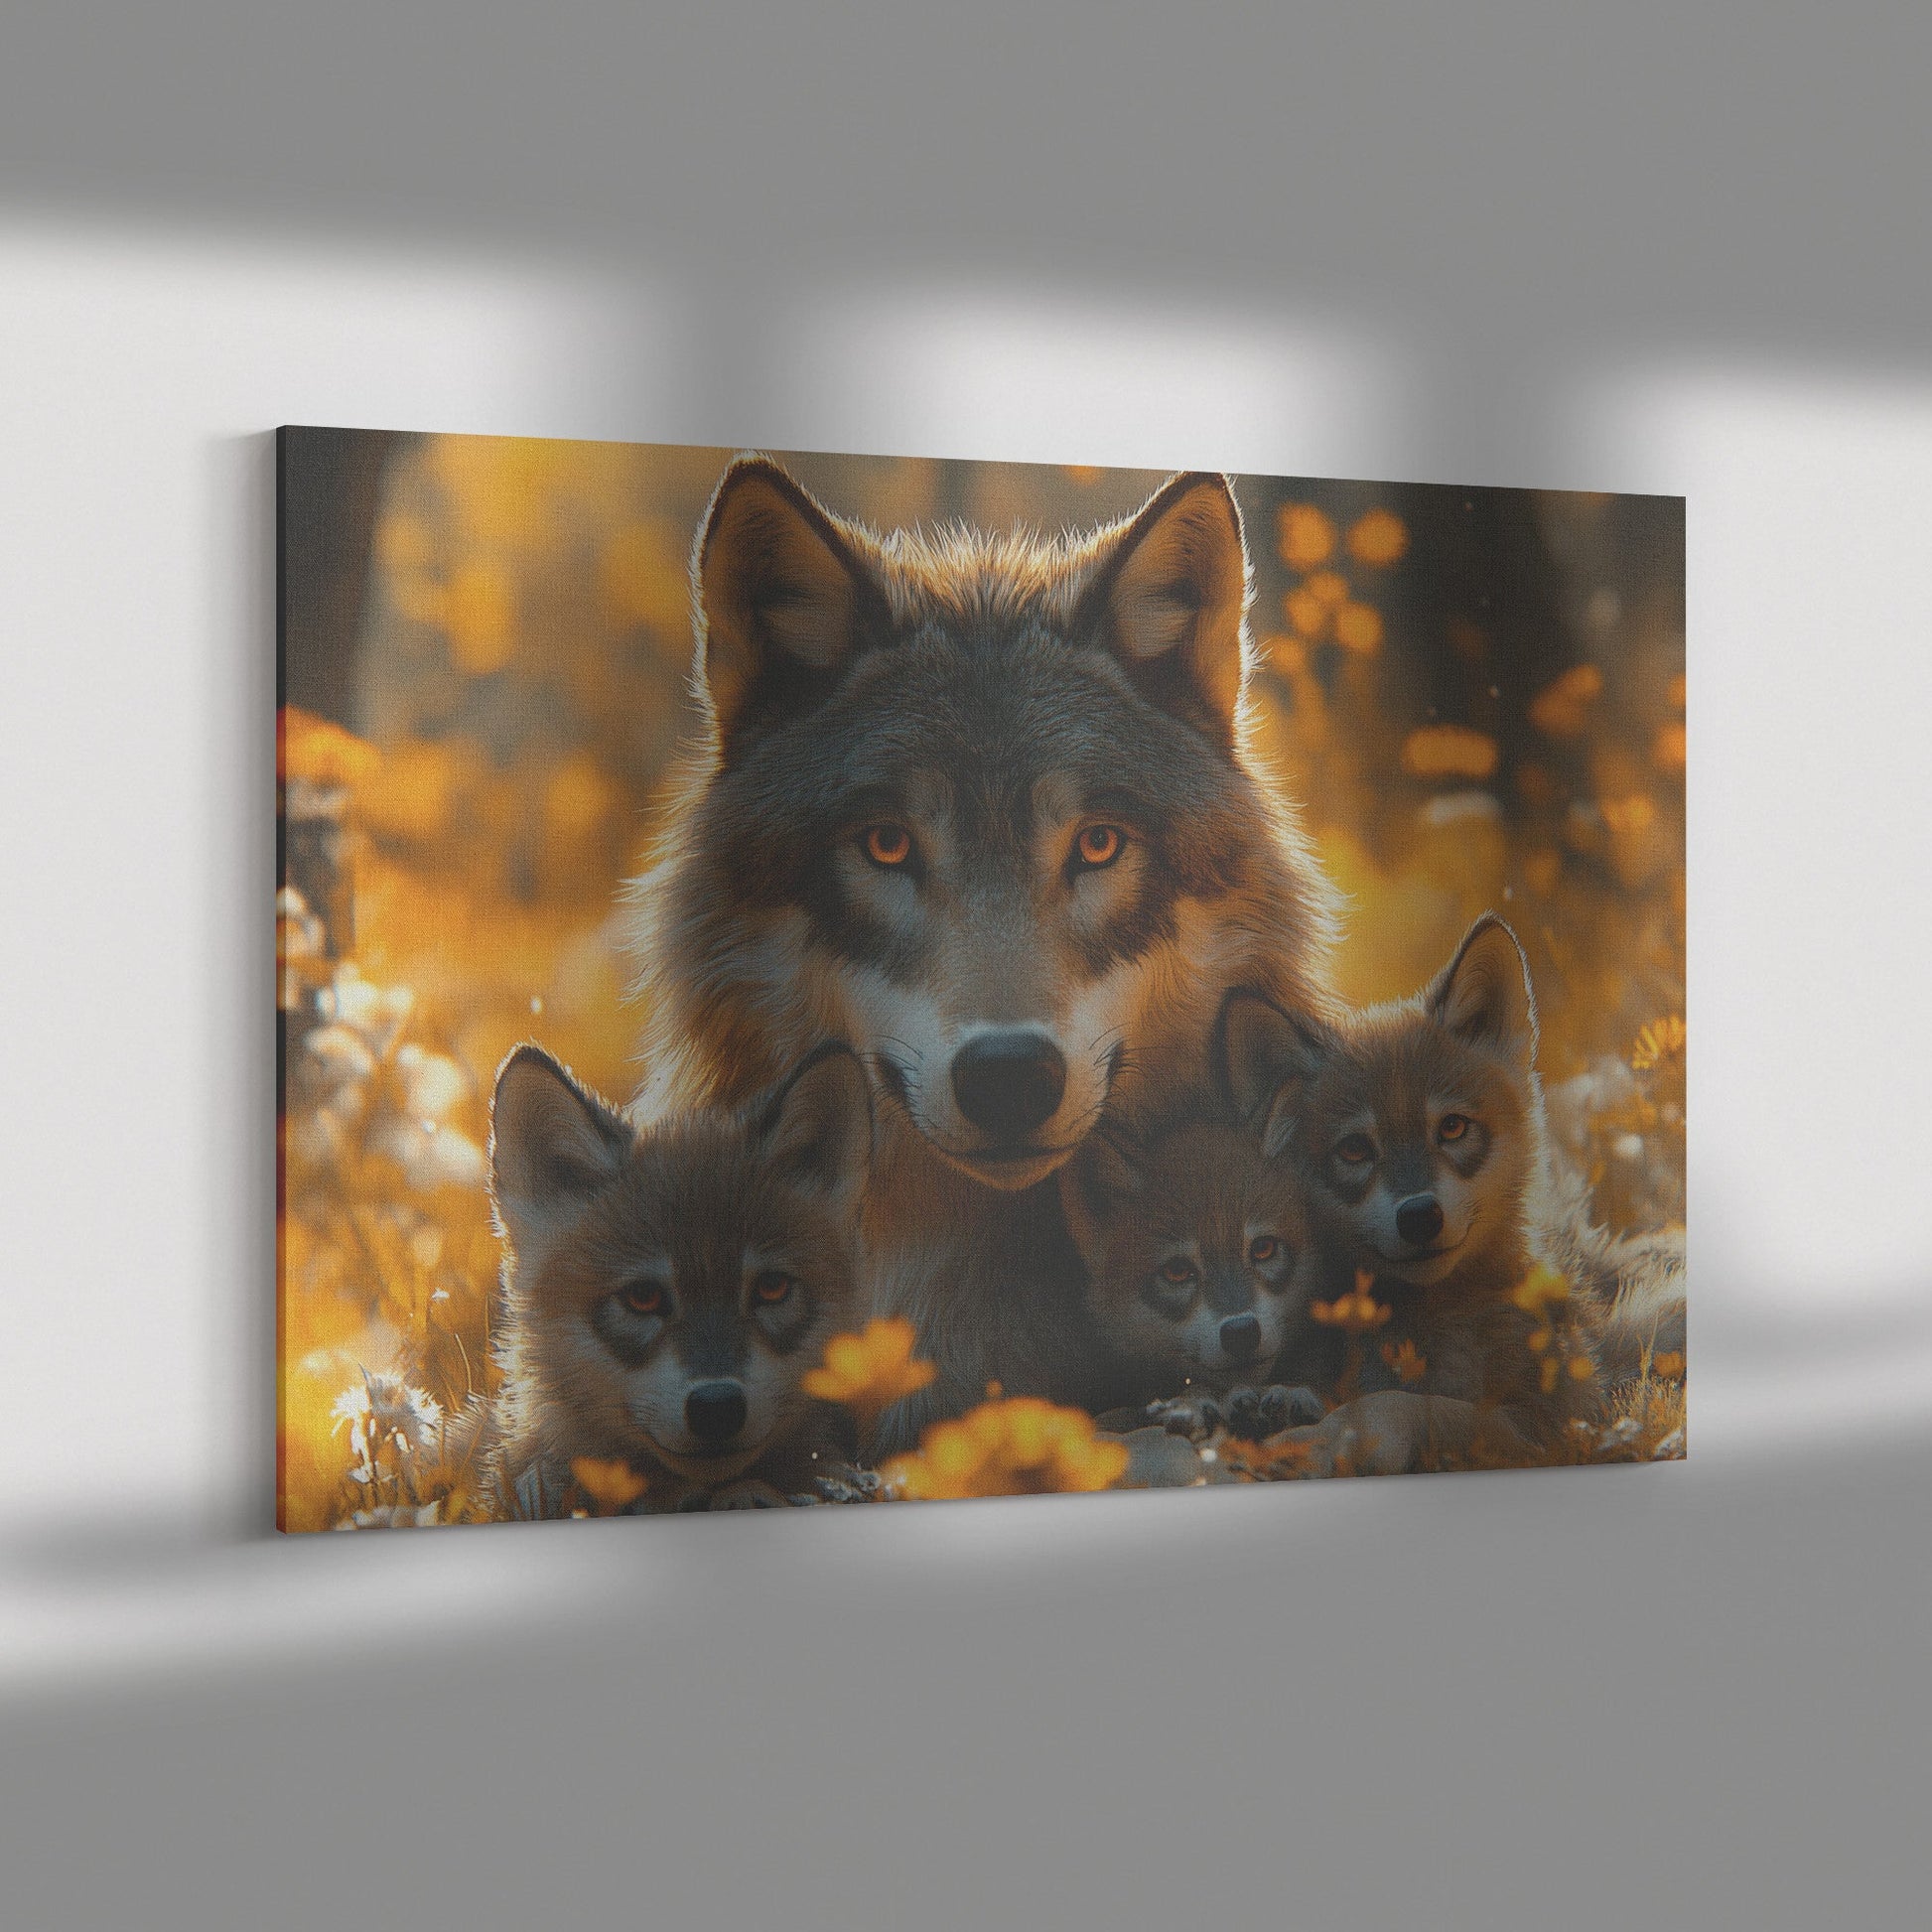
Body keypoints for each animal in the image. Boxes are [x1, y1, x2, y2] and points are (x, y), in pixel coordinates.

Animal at [1222, 915, 1625, 1475]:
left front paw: (1323, 1439)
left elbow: (1401, 1405)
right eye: (1355, 1150)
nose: (1418, 1217)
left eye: (1452, 1128)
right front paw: (1283, 1405)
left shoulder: (1558, 1423)